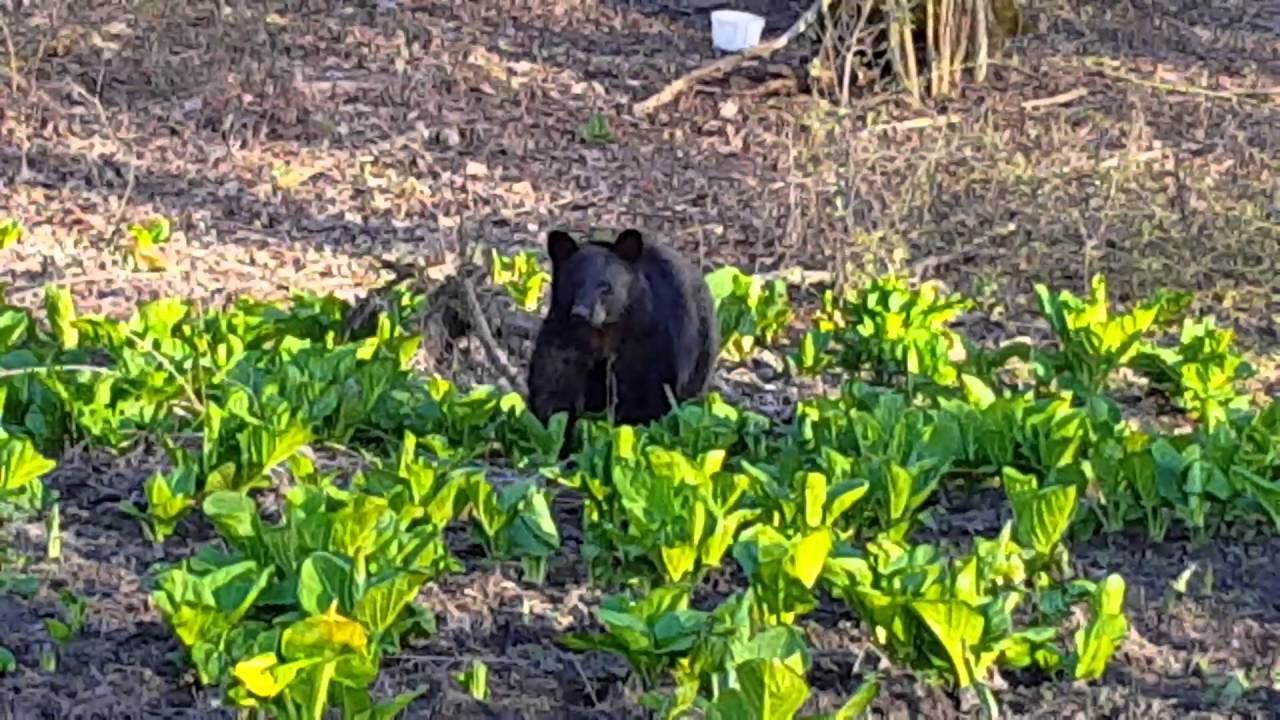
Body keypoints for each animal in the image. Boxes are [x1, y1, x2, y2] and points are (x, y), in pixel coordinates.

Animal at [526, 228, 719, 455]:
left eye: (605, 286)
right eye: (575, 283)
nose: (581, 314)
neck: (604, 331)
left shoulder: (652, 342)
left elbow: (648, 396)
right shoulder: (566, 336)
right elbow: (555, 384)